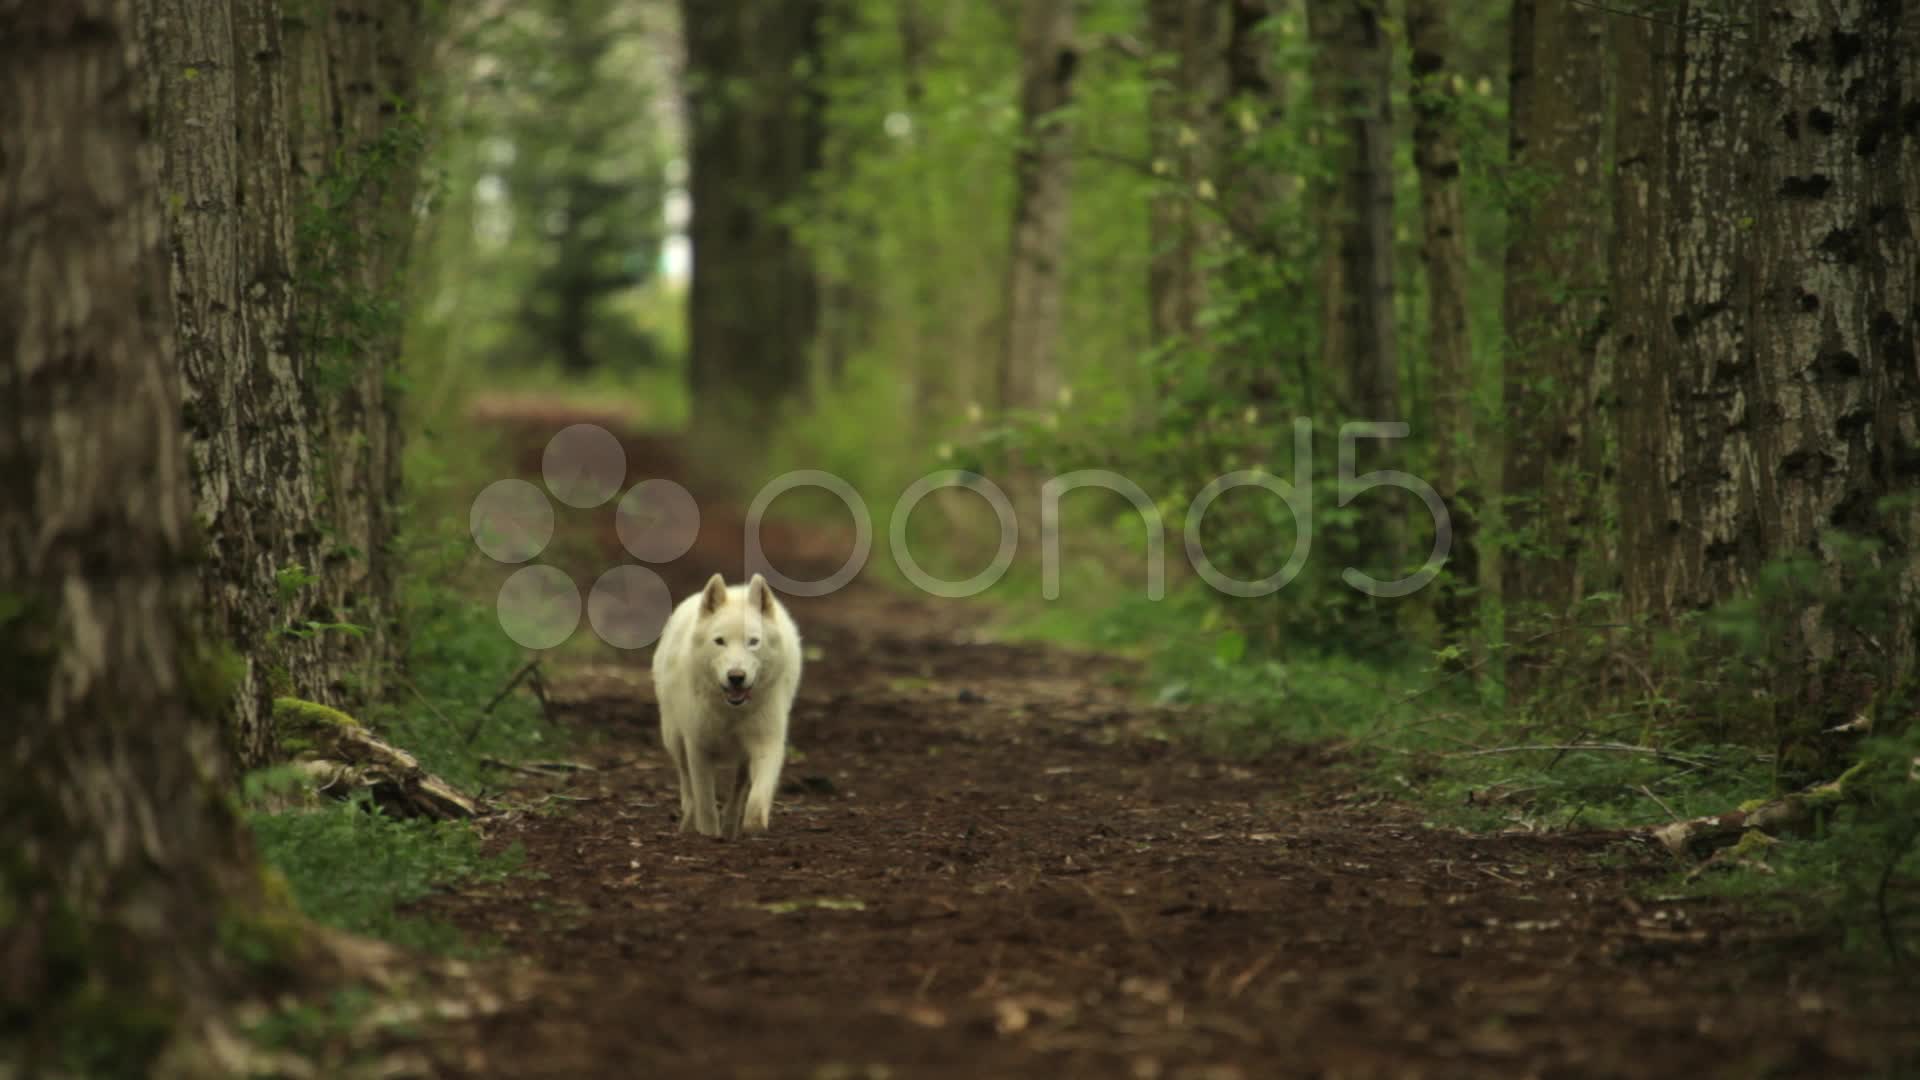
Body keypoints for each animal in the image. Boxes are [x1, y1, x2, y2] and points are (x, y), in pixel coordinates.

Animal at [651, 572, 803, 838]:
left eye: (753, 642)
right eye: (720, 641)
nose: (736, 677)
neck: (731, 711)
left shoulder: (768, 743)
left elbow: (756, 802)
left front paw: (750, 828)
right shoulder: (697, 748)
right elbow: (705, 804)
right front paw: (709, 836)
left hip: (741, 756)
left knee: (738, 791)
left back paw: (731, 828)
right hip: (674, 739)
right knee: (687, 786)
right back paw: (688, 824)